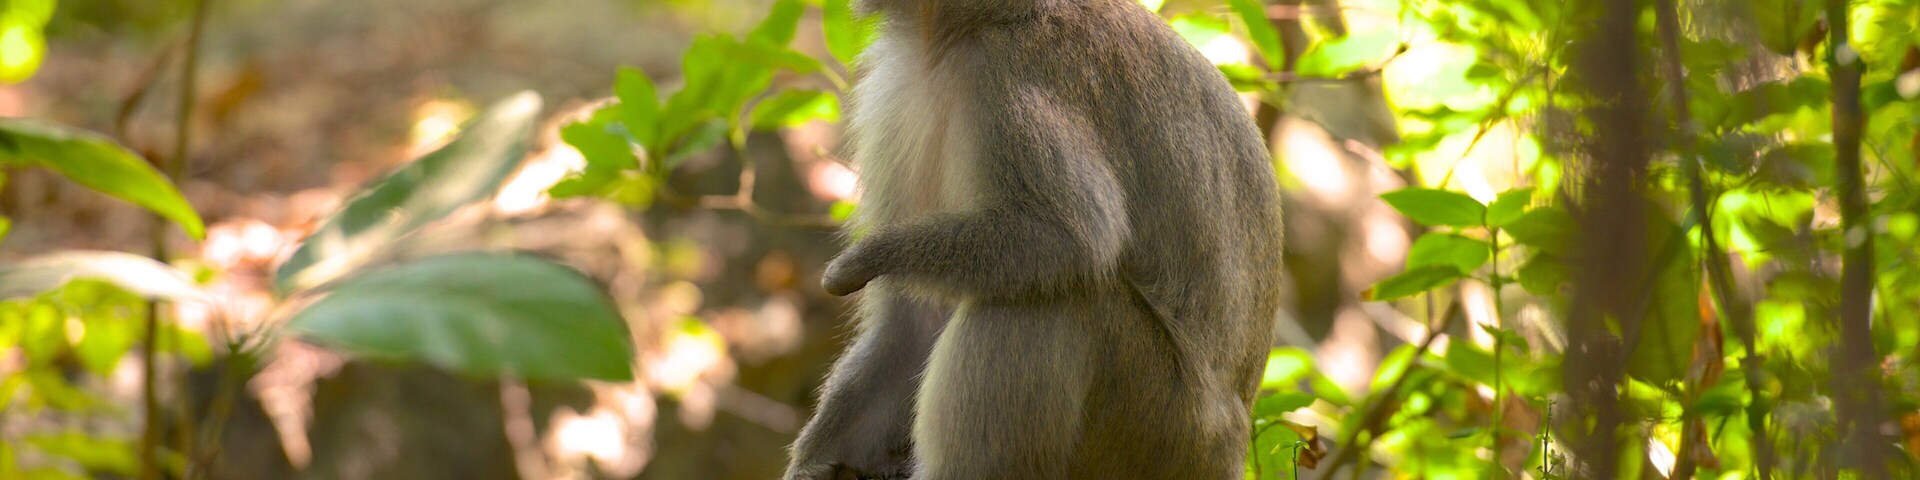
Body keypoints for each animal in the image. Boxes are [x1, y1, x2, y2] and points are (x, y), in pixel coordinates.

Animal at [786, 0, 1284, 478]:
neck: (959, 30)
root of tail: (1234, 447)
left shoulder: (1010, 76)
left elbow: (1072, 234)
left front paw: (870, 258)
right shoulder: (901, 95)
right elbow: (911, 321)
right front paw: (815, 463)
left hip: (1159, 428)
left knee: (1054, 300)